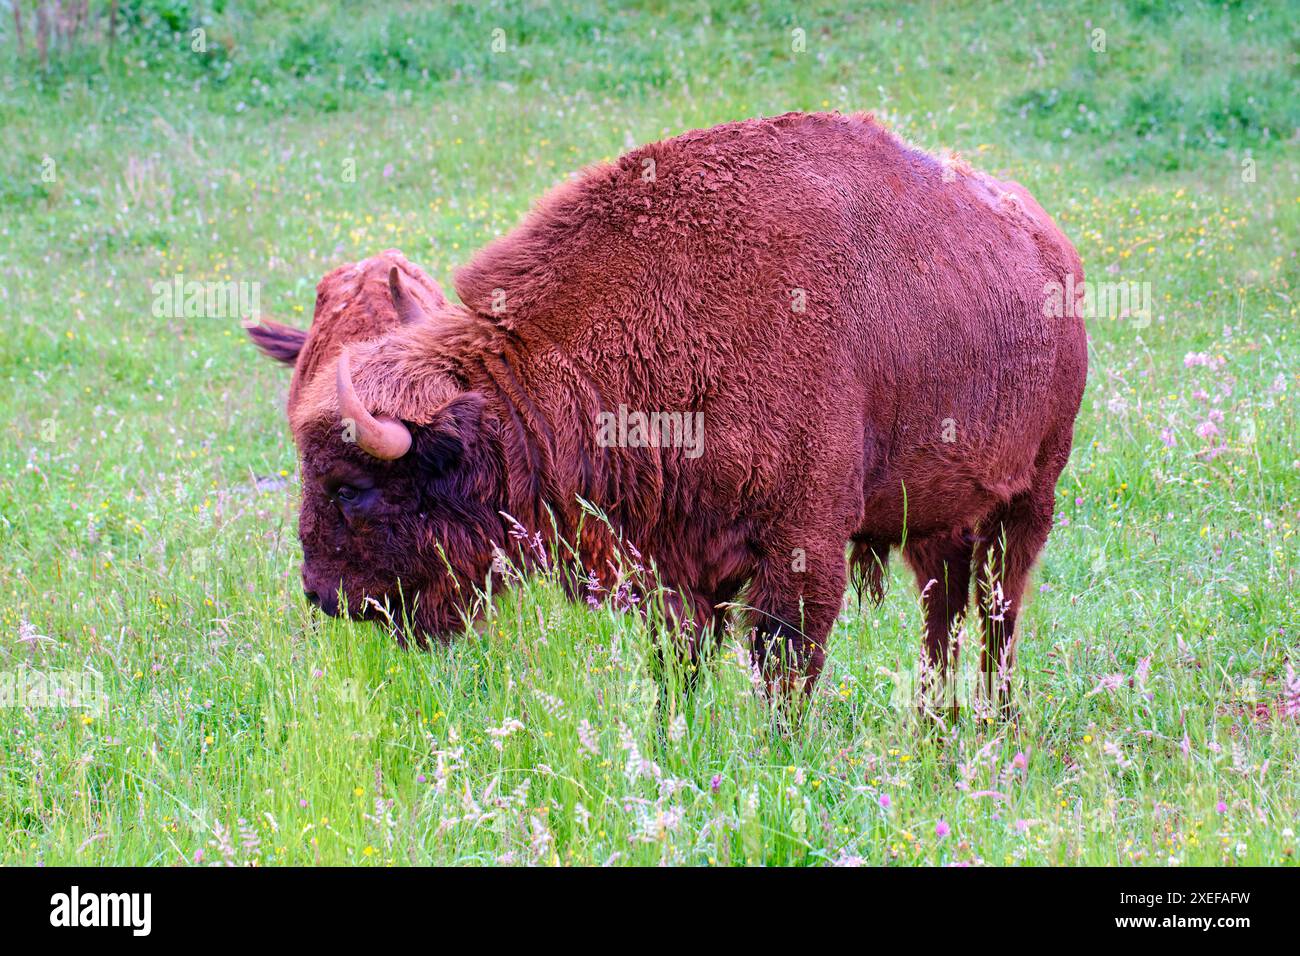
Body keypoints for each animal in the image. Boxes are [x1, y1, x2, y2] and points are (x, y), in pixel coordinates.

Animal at [248, 112, 1087, 704]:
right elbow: (679, 663)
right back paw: (935, 731)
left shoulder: (803, 544)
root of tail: (1052, 247)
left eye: (350, 487)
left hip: (1028, 502)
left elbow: (785, 665)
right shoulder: (676, 562)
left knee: (999, 617)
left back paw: (993, 726)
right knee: (945, 620)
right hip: (936, 521)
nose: (322, 594)